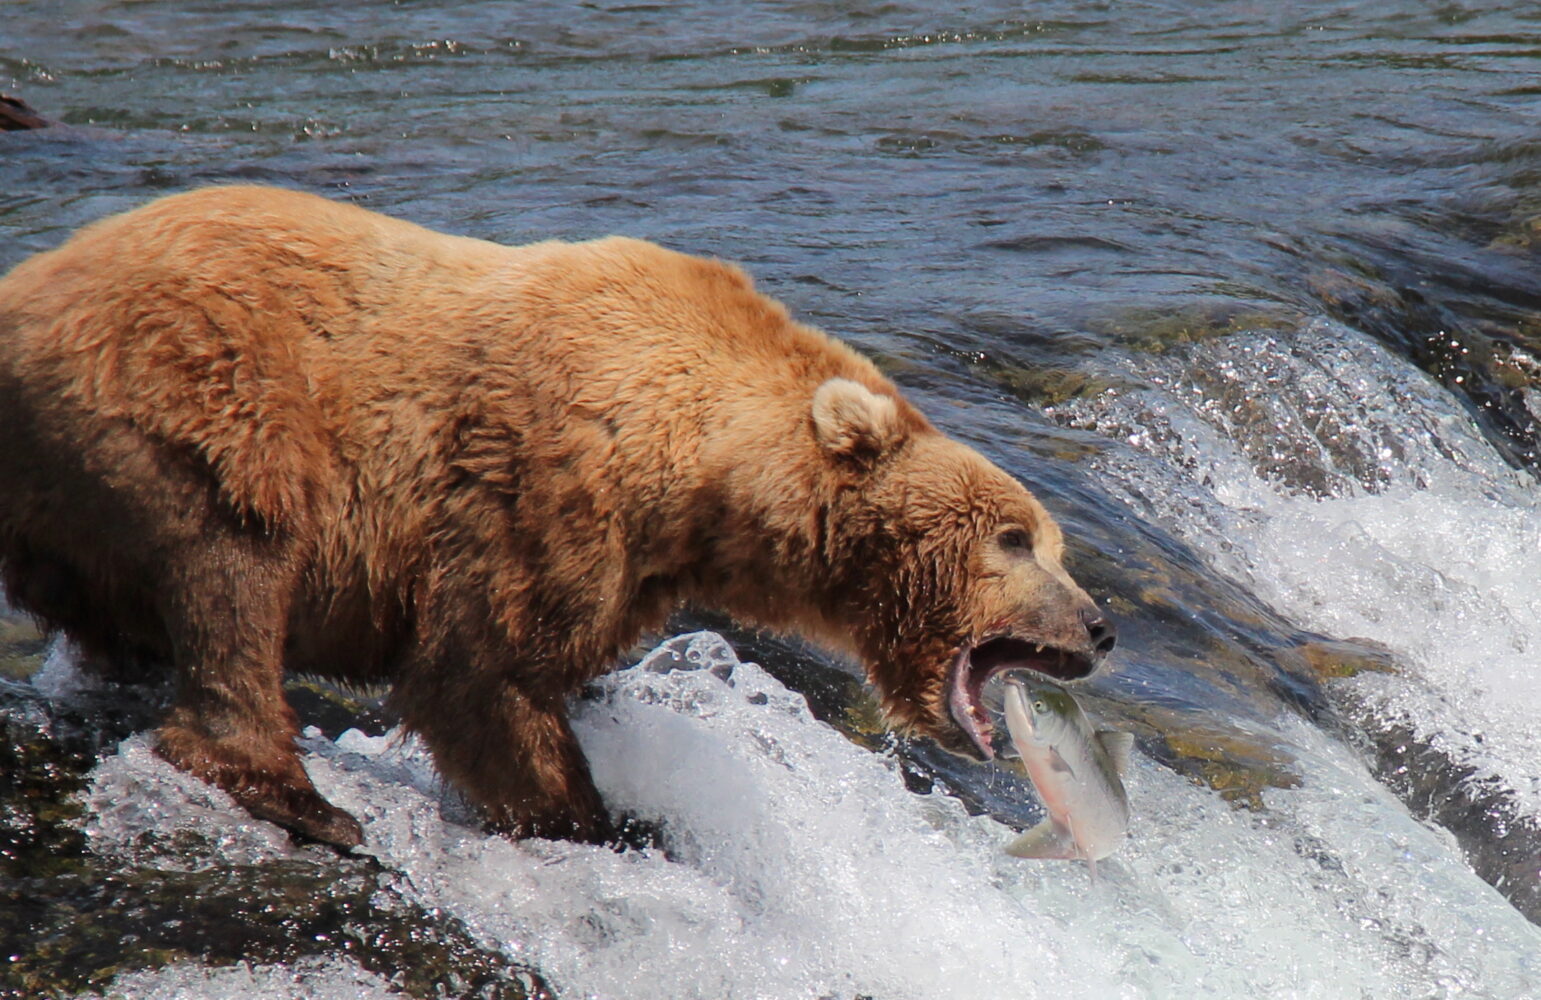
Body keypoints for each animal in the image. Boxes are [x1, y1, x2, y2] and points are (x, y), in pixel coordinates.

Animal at [0, 186, 1115, 849]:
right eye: (1014, 538)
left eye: (1055, 544)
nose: (1100, 628)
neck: (702, 475)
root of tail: (33, 284)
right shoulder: (543, 488)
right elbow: (478, 675)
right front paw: (601, 820)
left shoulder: (634, 563)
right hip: (200, 400)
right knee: (231, 566)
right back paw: (300, 797)